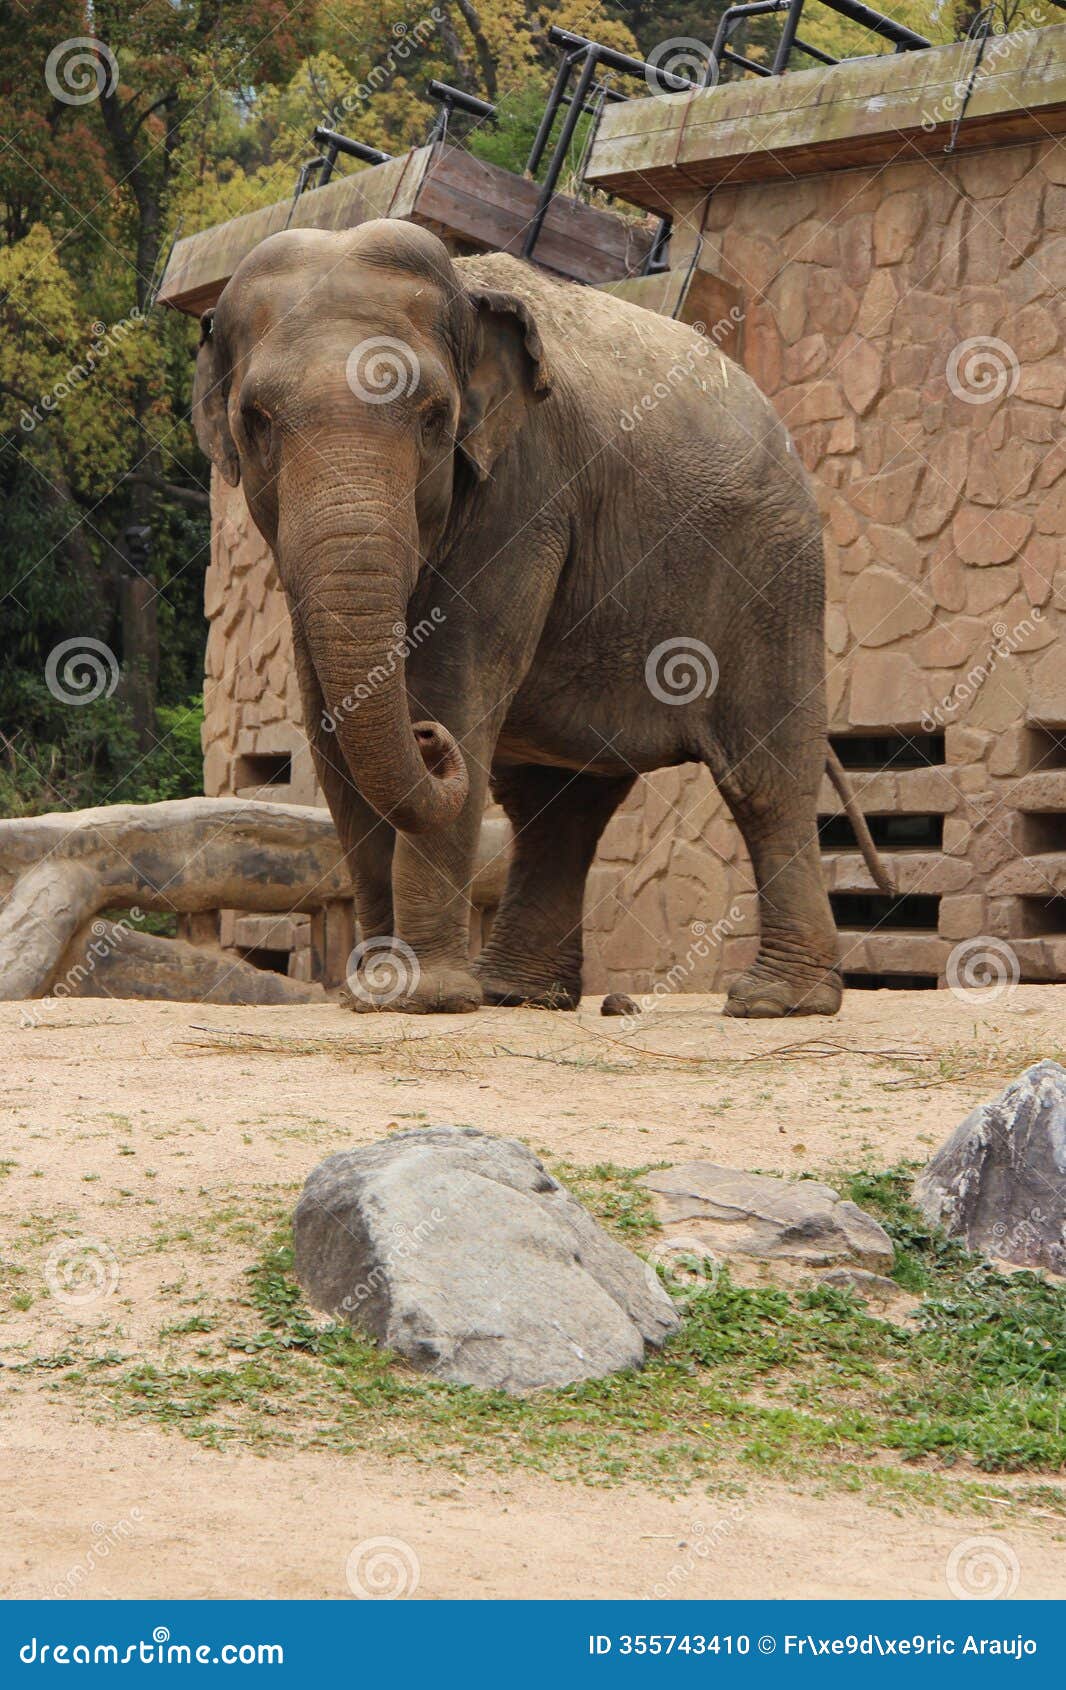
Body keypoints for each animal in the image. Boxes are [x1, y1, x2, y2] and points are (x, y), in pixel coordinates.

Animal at [193, 217, 887, 1017]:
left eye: (435, 420)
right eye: (256, 422)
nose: (425, 742)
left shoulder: (525, 492)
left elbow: (455, 687)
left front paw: (421, 997)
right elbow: (331, 727)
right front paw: (377, 992)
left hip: (777, 572)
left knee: (764, 779)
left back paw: (774, 1002)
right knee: (558, 806)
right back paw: (517, 994)